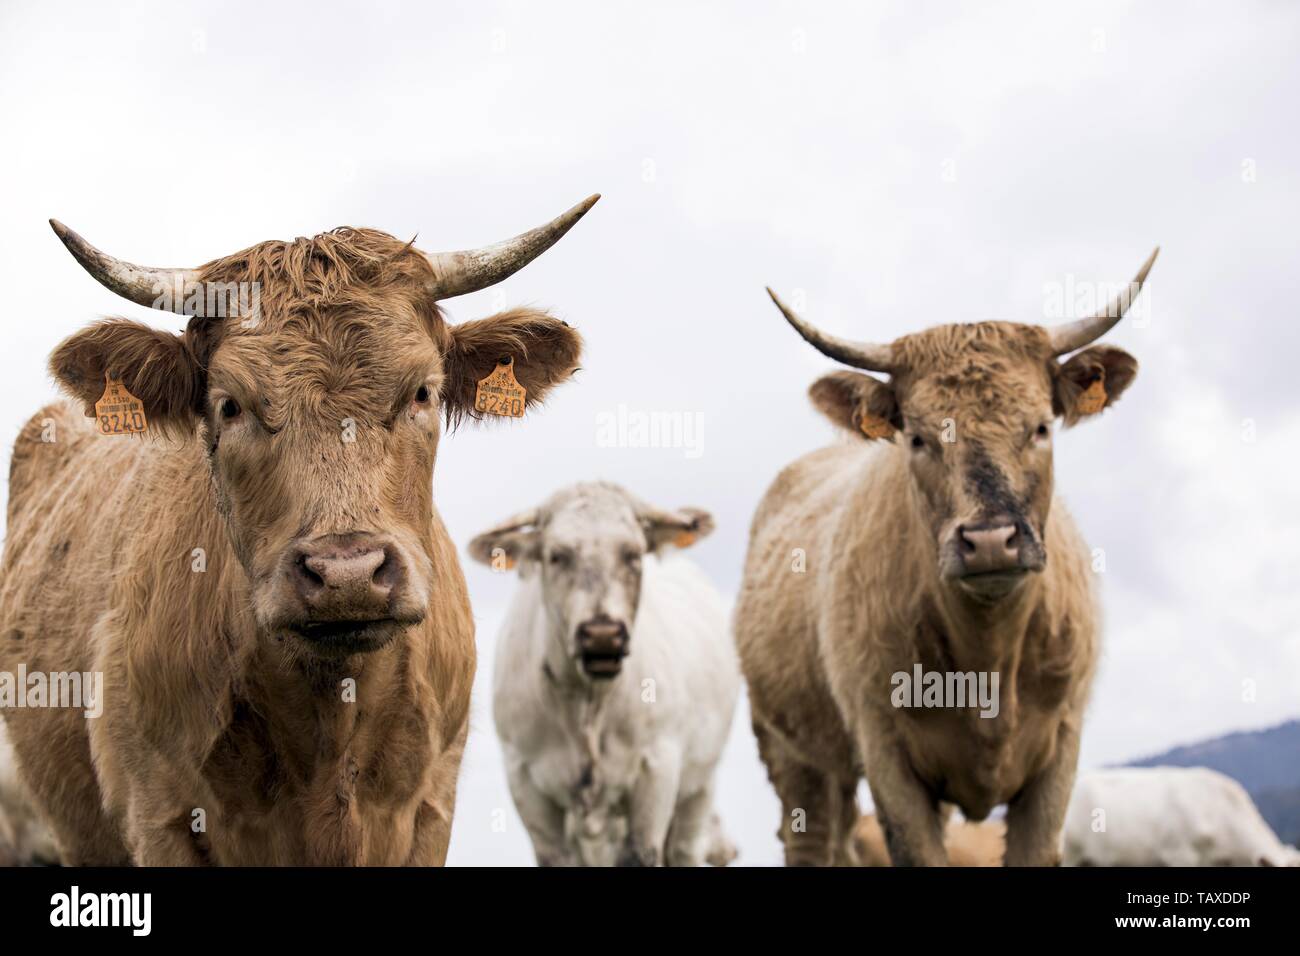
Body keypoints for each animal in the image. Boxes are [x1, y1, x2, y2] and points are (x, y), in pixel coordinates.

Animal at [469, 482, 740, 866]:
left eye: (633, 554)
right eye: (556, 555)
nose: (602, 635)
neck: (587, 705)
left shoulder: (657, 769)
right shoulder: (524, 780)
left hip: (699, 786)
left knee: (684, 848)